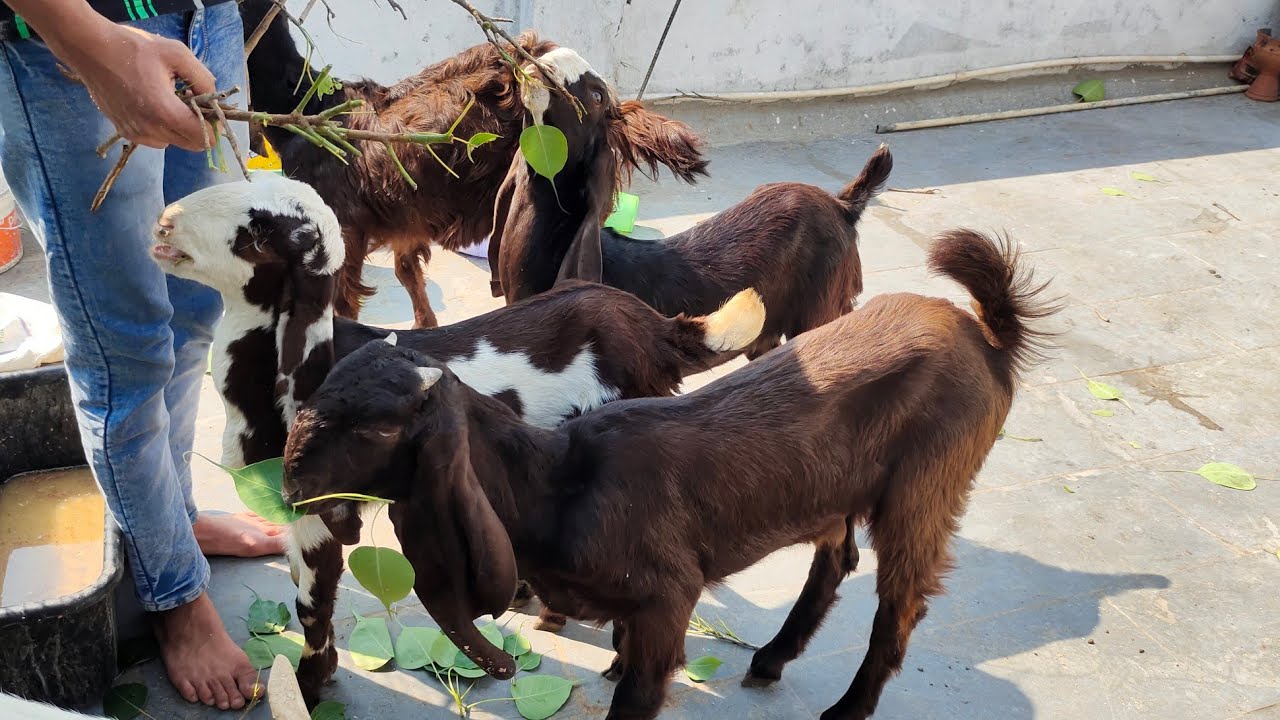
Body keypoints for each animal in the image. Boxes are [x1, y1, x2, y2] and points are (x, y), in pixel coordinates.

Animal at [151, 173, 765, 702]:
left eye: (258, 232)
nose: (163, 224)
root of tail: (656, 330)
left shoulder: (319, 510)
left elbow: (312, 605)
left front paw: (308, 686)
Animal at [240, 0, 708, 328]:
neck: (306, 106)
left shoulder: (343, 228)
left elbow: (343, 303)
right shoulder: (405, 222)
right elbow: (408, 273)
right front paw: (425, 327)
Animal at [284, 229, 1056, 719]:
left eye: (379, 427)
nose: (289, 482)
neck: (555, 485)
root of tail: (988, 335)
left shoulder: (667, 598)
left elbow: (638, 695)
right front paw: (611, 658)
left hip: (928, 486)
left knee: (900, 607)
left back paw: (844, 710)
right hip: (835, 488)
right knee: (836, 557)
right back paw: (772, 658)